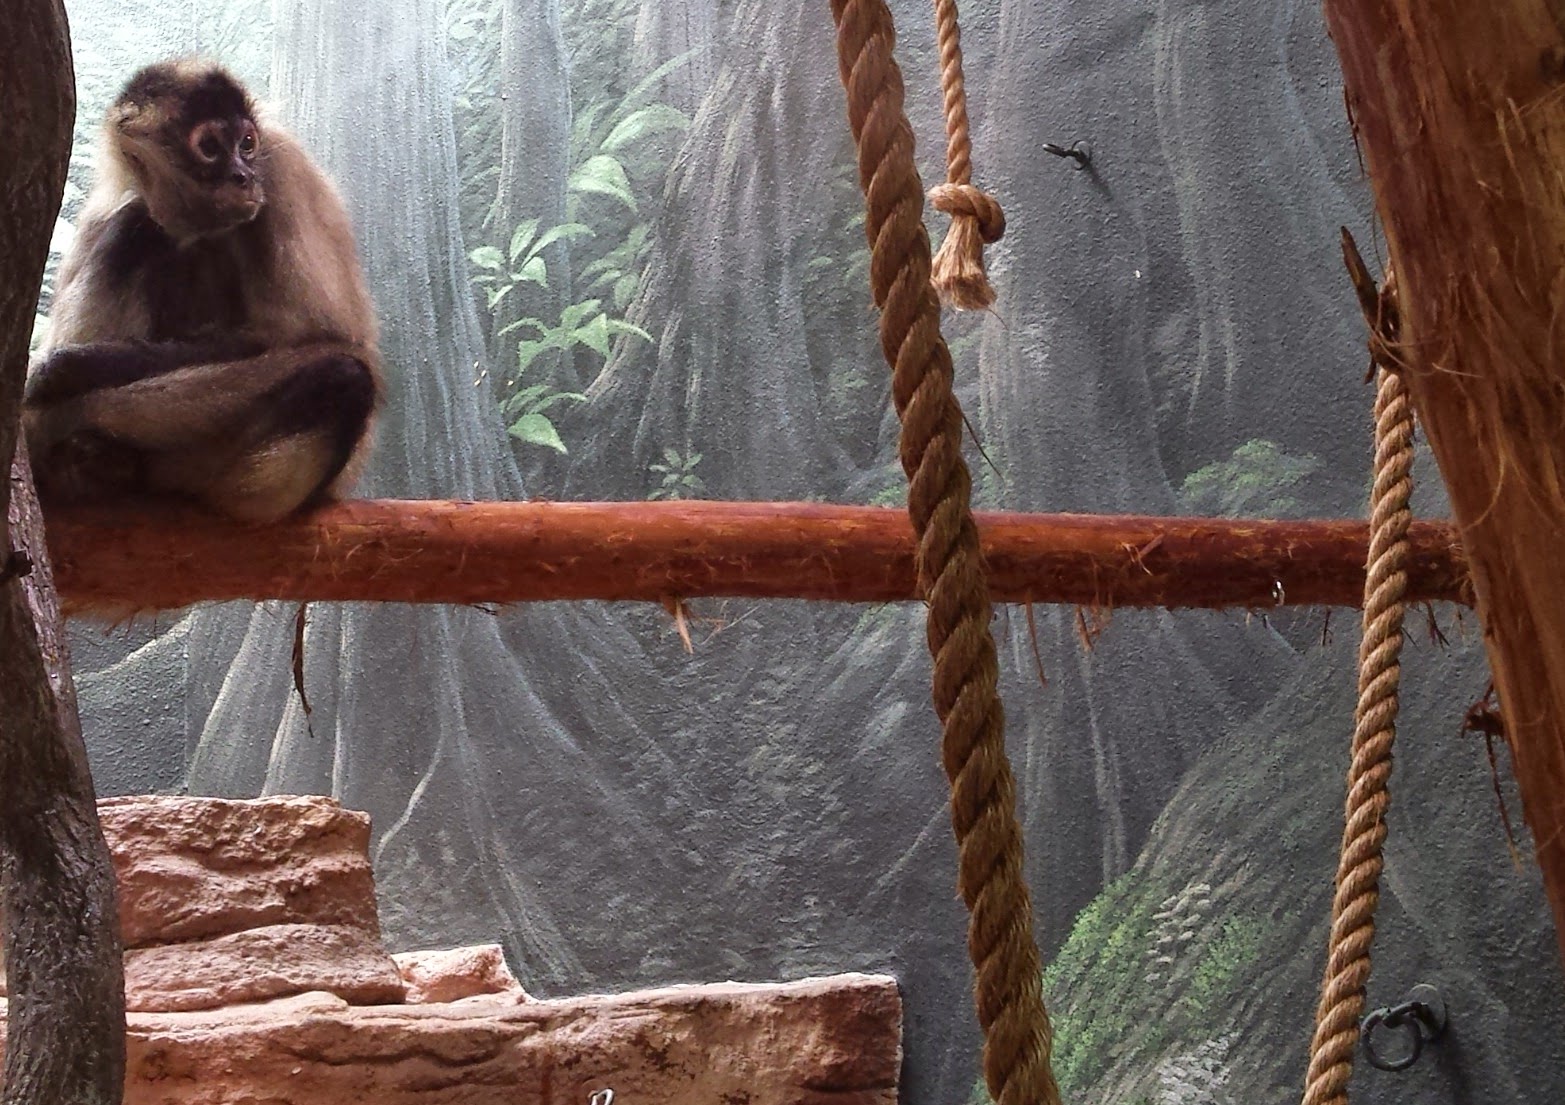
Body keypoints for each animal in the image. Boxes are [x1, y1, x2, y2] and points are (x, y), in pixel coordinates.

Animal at [23, 59, 381, 524]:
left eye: (247, 143)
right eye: (210, 146)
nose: (242, 176)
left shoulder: (280, 166)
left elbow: (333, 343)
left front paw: (68, 381)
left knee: (346, 378)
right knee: (137, 226)